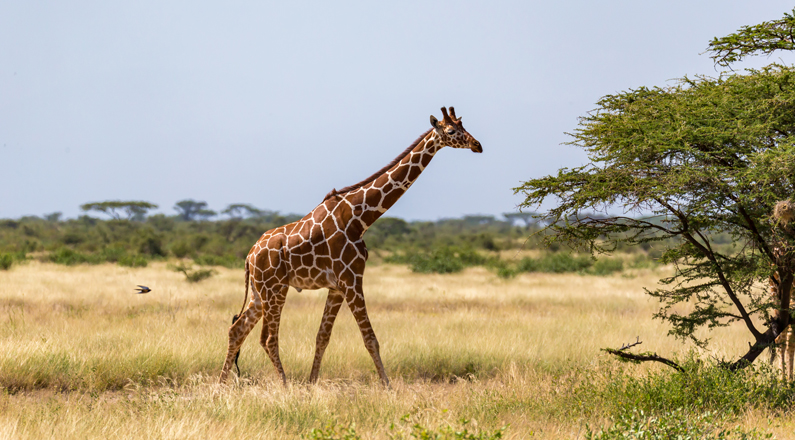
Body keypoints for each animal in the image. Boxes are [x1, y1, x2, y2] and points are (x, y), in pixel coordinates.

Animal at [219, 107, 482, 385]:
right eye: (452, 131)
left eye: (464, 126)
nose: (477, 145)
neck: (360, 217)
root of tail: (249, 256)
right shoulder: (352, 279)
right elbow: (370, 339)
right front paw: (387, 386)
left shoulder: (337, 286)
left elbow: (322, 337)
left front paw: (312, 384)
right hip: (275, 288)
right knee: (267, 338)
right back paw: (285, 385)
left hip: (260, 292)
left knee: (236, 329)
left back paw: (221, 385)